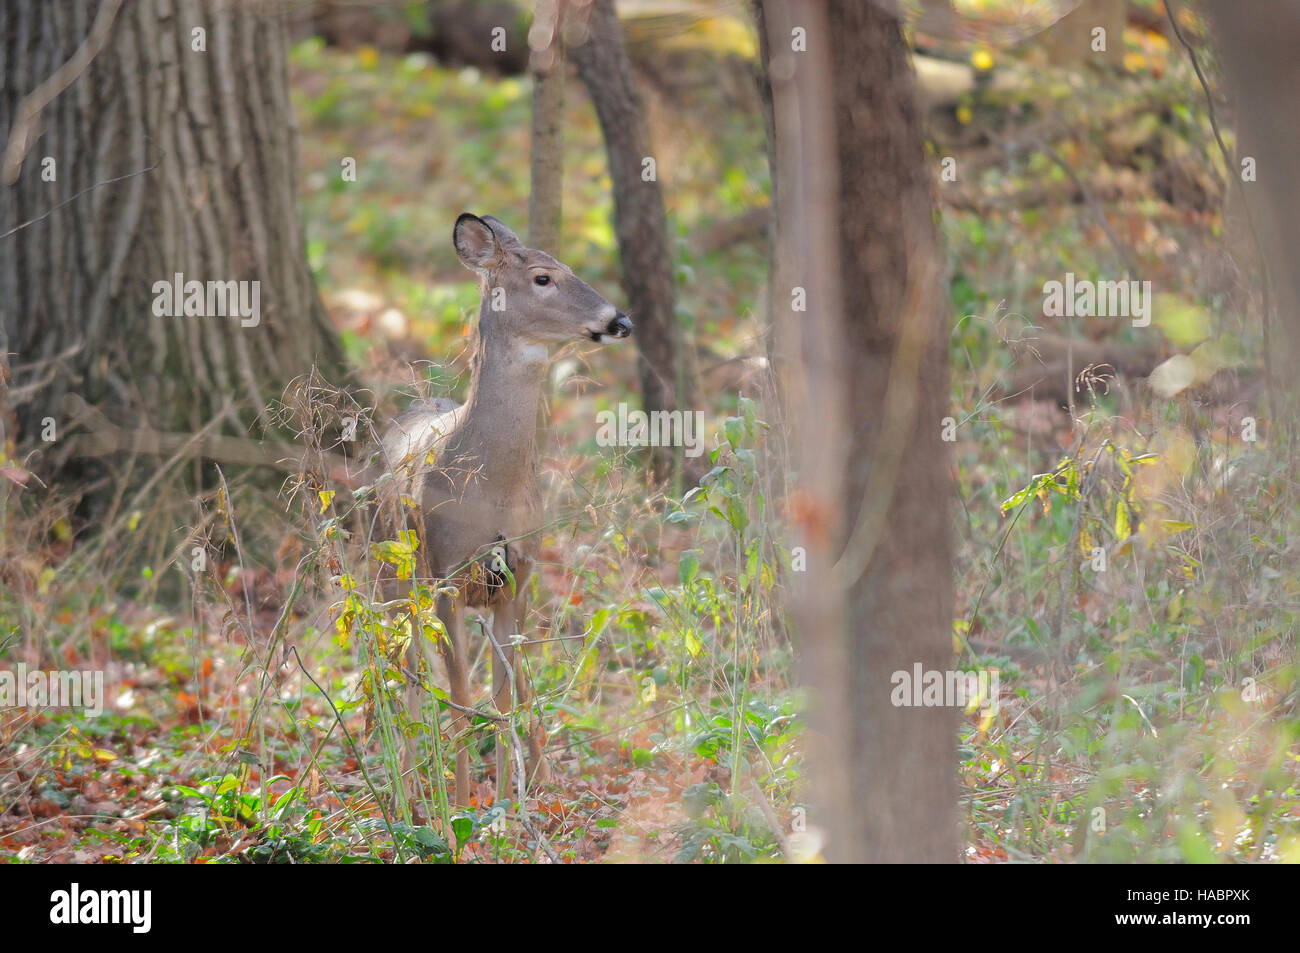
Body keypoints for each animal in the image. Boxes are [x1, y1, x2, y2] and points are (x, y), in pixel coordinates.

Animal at [376, 213, 632, 807]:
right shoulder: (445, 575)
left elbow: (505, 695)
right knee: (408, 669)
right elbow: (463, 696)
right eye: (543, 277)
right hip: (395, 574)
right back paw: (411, 791)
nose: (620, 319)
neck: (491, 489)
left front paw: (516, 803)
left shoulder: (519, 575)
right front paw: (462, 807)